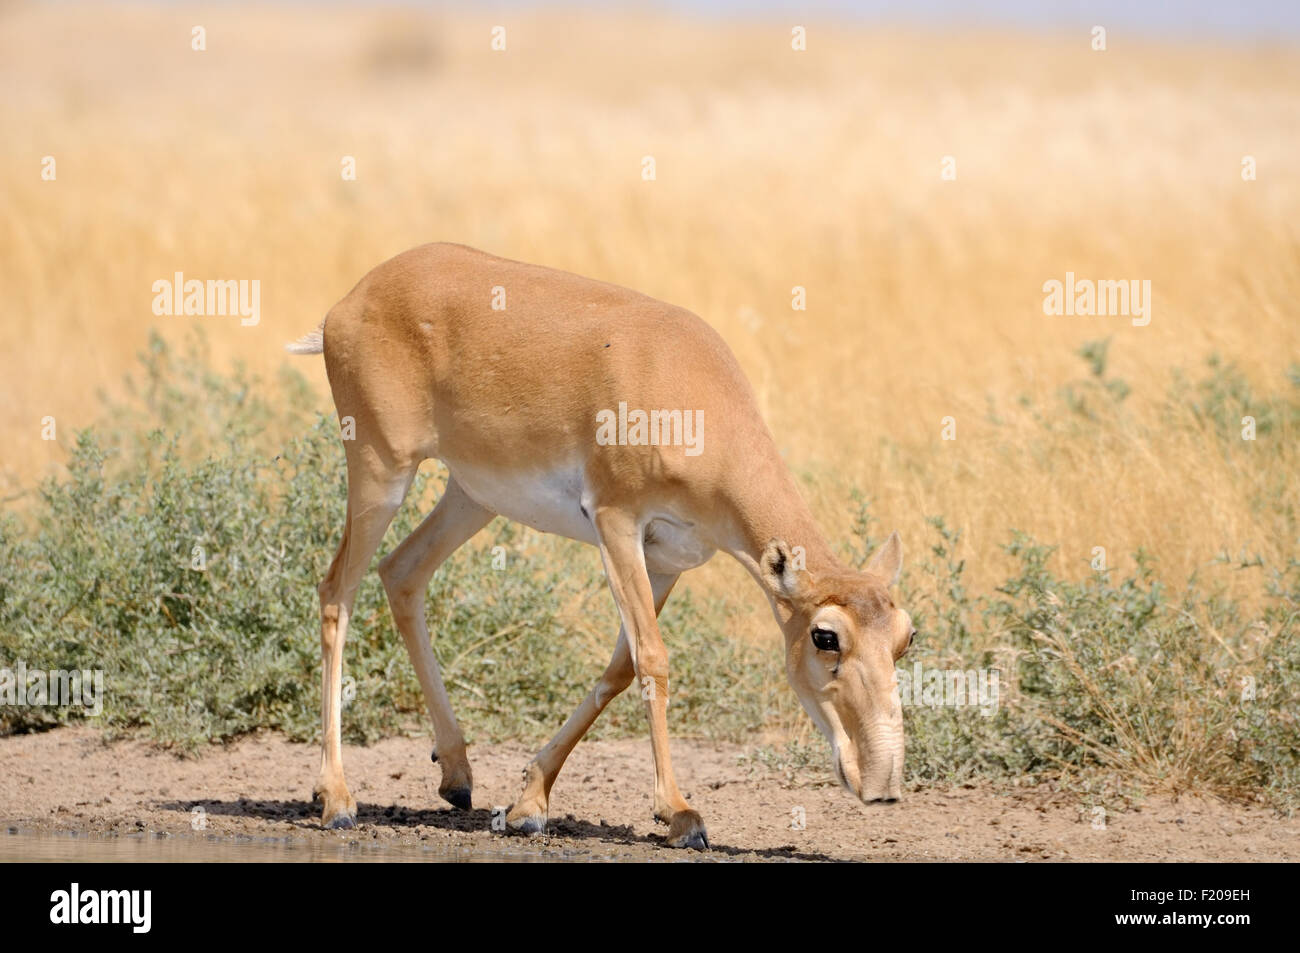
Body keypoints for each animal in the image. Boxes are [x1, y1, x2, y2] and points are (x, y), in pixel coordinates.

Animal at [287, 243, 914, 849]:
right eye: (826, 635)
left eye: (906, 637)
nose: (881, 784)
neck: (685, 382)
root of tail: (349, 302)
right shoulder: (617, 524)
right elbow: (653, 658)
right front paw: (681, 814)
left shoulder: (667, 560)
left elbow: (621, 668)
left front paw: (528, 806)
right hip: (381, 473)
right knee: (335, 591)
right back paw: (337, 800)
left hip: (471, 496)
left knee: (401, 572)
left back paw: (457, 776)